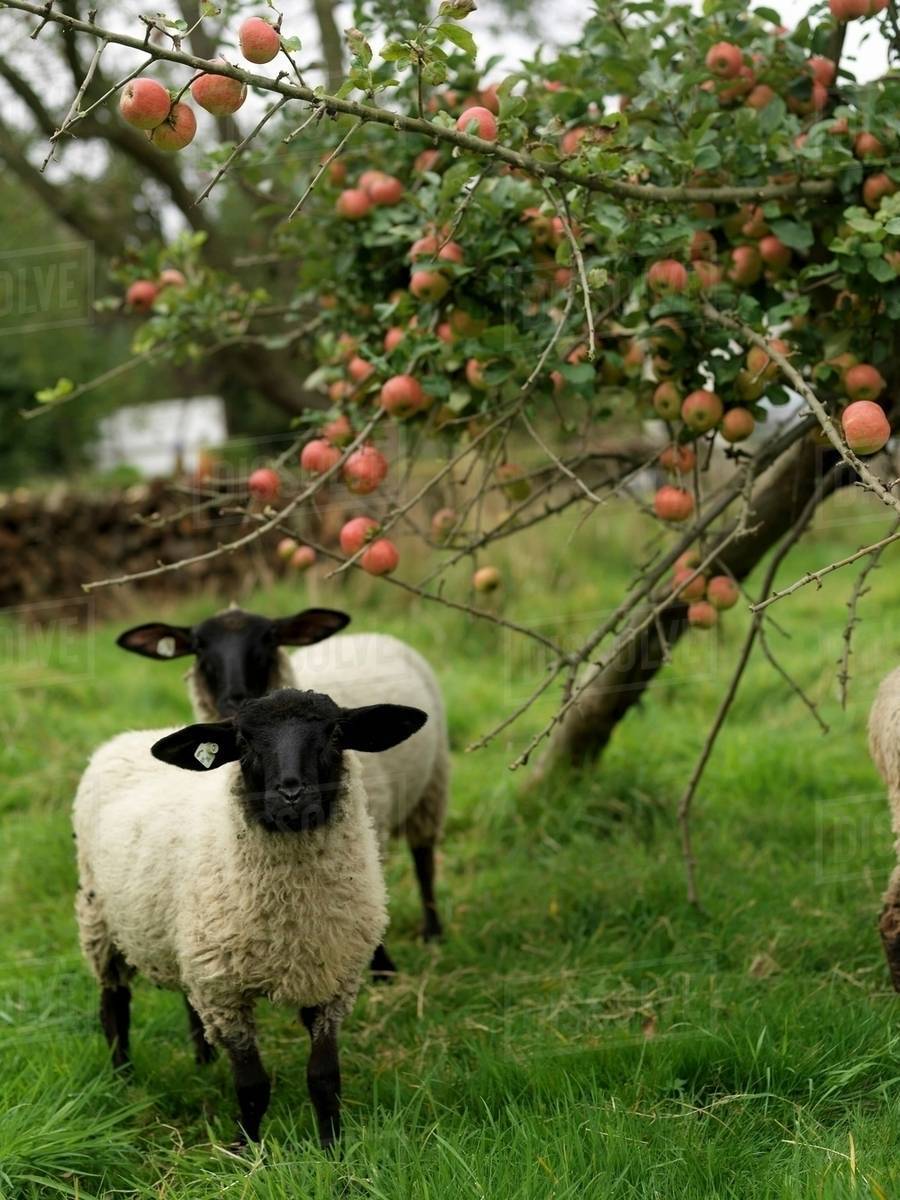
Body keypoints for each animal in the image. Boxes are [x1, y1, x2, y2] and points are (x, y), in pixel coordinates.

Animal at [73, 687, 427, 1147]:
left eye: (335, 734)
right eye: (242, 741)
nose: (291, 794)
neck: (292, 916)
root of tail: (129, 737)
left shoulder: (331, 981)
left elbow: (324, 1078)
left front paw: (333, 1147)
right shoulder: (225, 993)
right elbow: (253, 1086)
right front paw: (245, 1148)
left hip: (188, 943)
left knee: (186, 1000)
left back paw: (203, 1061)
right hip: (100, 920)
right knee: (114, 1006)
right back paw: (124, 1080)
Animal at [116, 607, 450, 956]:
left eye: (270, 638)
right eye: (198, 646)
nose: (234, 700)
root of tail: (367, 636)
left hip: (433, 783)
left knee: (424, 859)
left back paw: (433, 931)